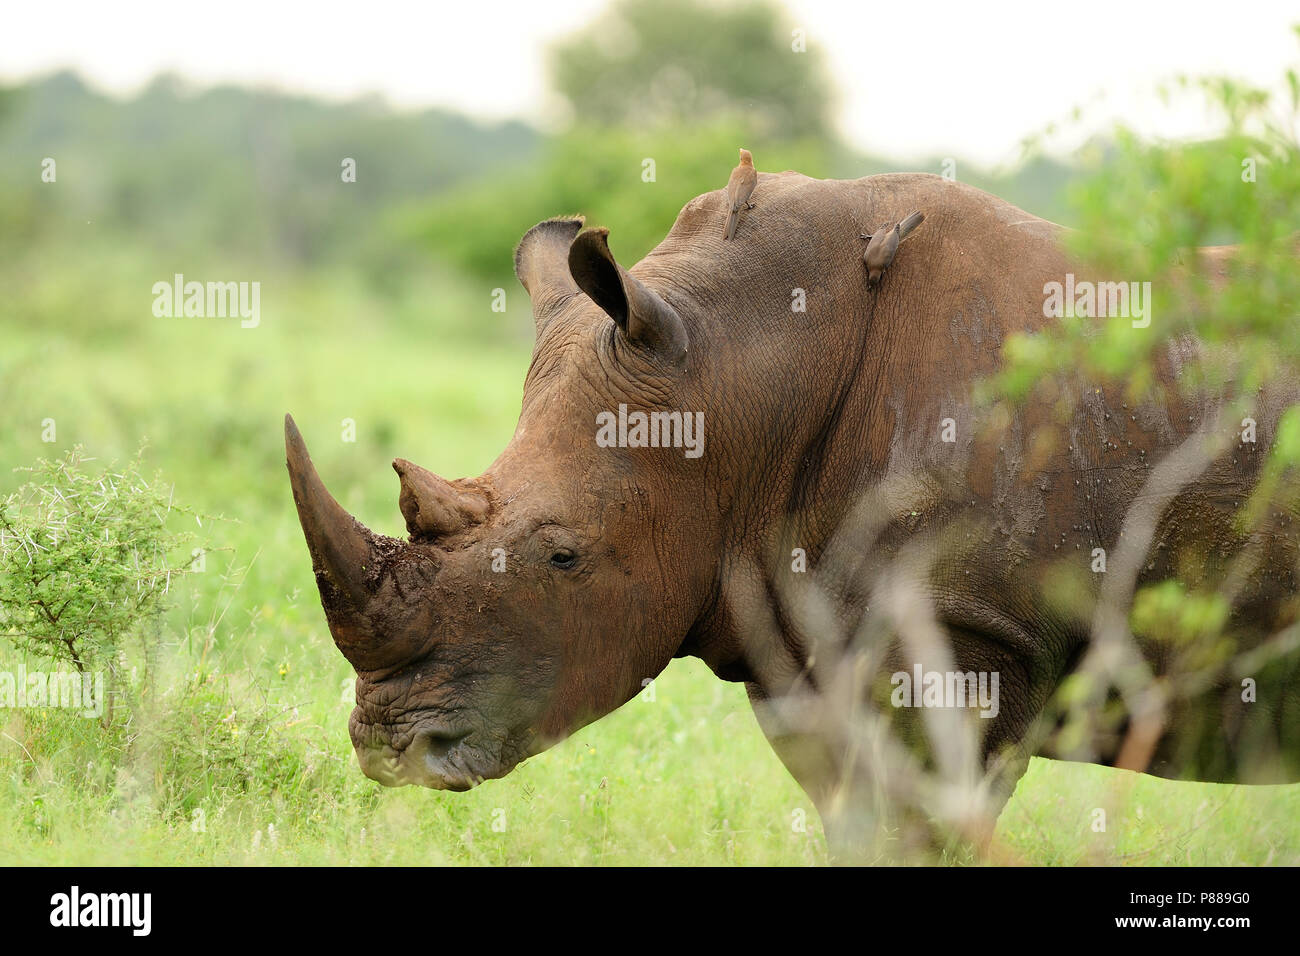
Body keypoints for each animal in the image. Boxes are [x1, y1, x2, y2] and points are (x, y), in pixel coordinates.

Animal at [286, 171, 1300, 855]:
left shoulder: (972, 629)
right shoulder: (791, 620)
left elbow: (923, 831)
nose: (392, 749)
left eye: (563, 558)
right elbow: (860, 823)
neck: (745, 376)